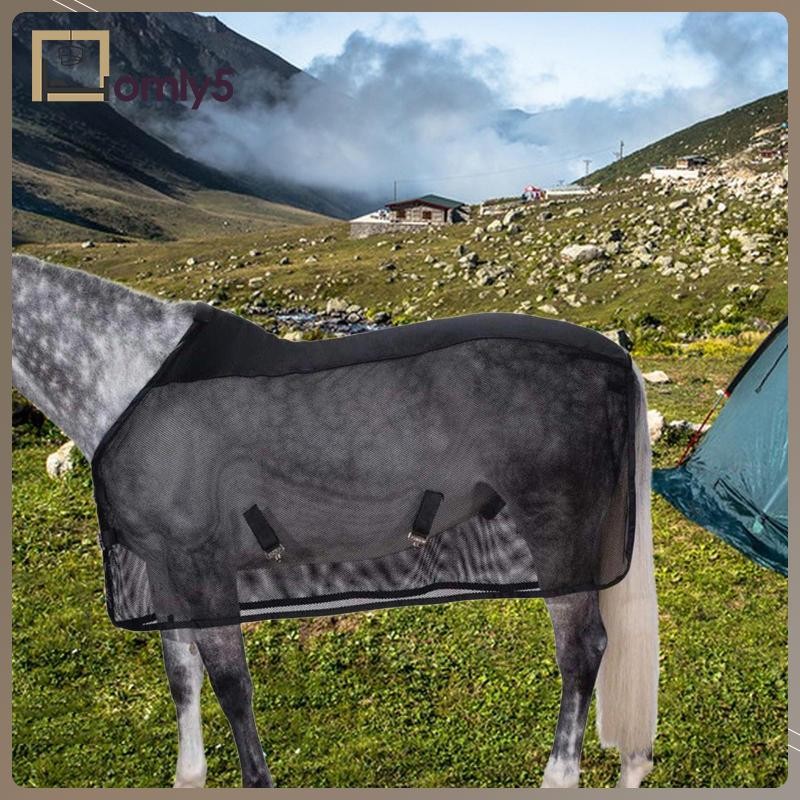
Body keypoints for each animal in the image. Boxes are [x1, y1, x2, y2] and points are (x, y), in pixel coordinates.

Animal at [11, 253, 658, 788]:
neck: (126, 378)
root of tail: (616, 358)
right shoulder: (165, 569)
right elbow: (182, 677)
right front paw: (188, 778)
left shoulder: (202, 565)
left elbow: (231, 686)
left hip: (558, 531)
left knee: (582, 650)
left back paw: (558, 777)